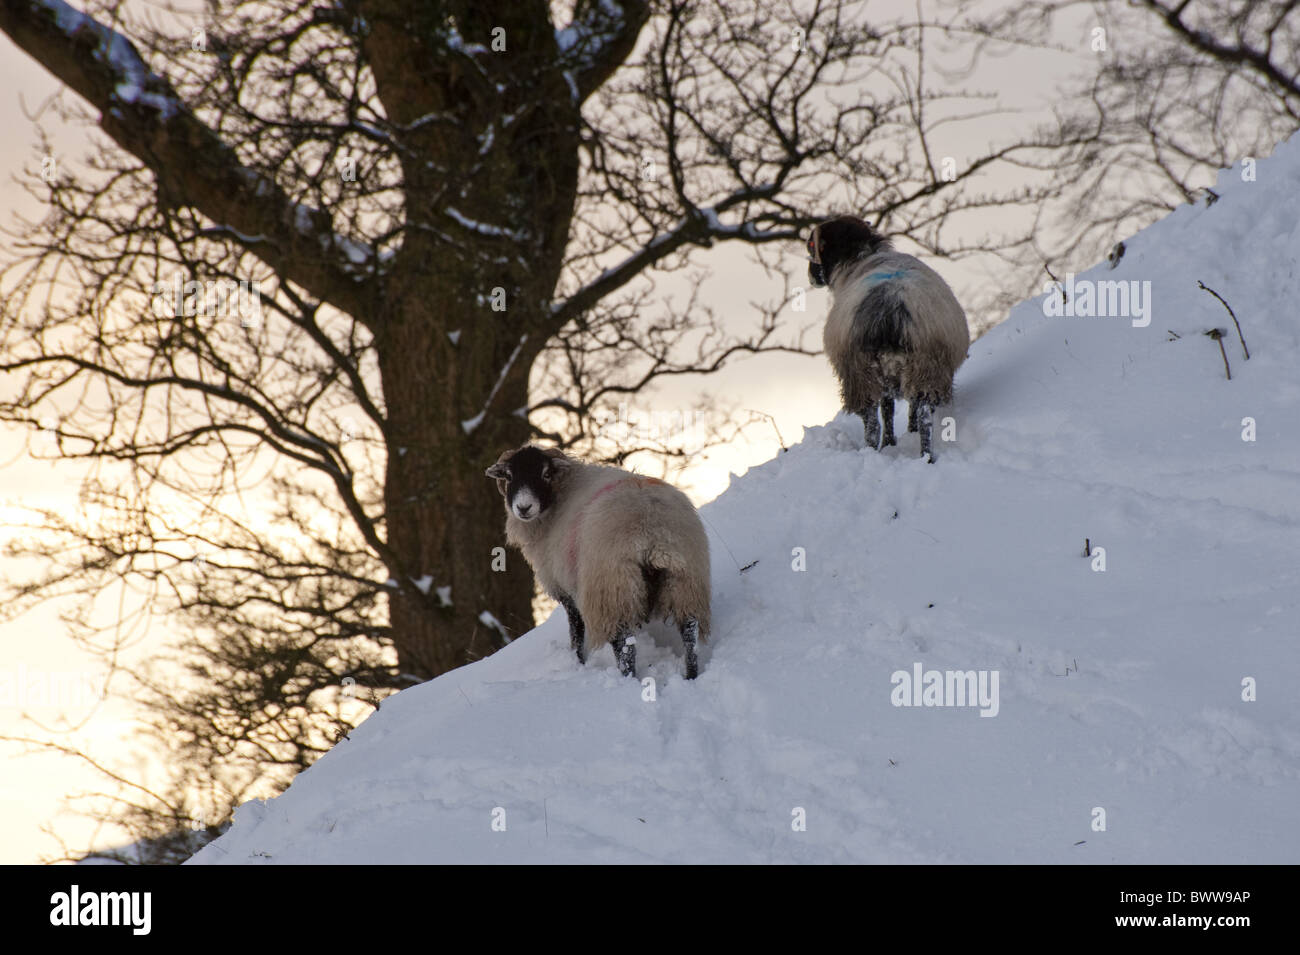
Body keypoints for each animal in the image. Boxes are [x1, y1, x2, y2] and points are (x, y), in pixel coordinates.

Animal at [485, 445, 712, 679]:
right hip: (687, 584)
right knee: (690, 635)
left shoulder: (568, 590)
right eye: (509, 476)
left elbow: (576, 631)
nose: (523, 507)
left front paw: (578, 662)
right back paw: (691, 674)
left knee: (625, 647)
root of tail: (653, 530)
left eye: (546, 474)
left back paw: (627, 679)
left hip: (612, 591)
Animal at [806, 215, 969, 461]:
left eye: (811, 245)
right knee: (923, 415)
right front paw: (904, 435)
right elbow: (901, 409)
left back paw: (873, 449)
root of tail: (891, 309)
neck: (858, 258)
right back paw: (926, 456)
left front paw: (890, 443)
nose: (810, 275)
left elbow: (887, 409)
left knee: (873, 422)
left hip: (860, 374)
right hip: (926, 369)